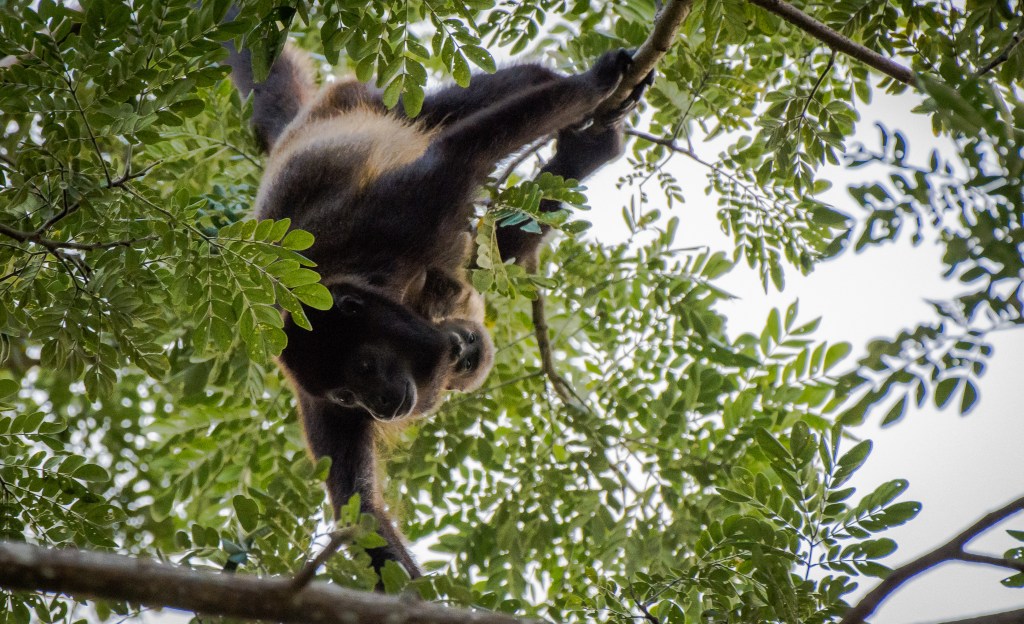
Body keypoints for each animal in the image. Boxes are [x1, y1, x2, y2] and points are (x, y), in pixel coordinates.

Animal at [225, 39, 646, 583]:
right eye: (346, 396)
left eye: (364, 366)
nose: (379, 406)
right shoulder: (318, 406)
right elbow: (362, 515)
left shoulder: (402, 213)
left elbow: (460, 153)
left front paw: (595, 83)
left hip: (369, 99)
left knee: (459, 104)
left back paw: (583, 99)